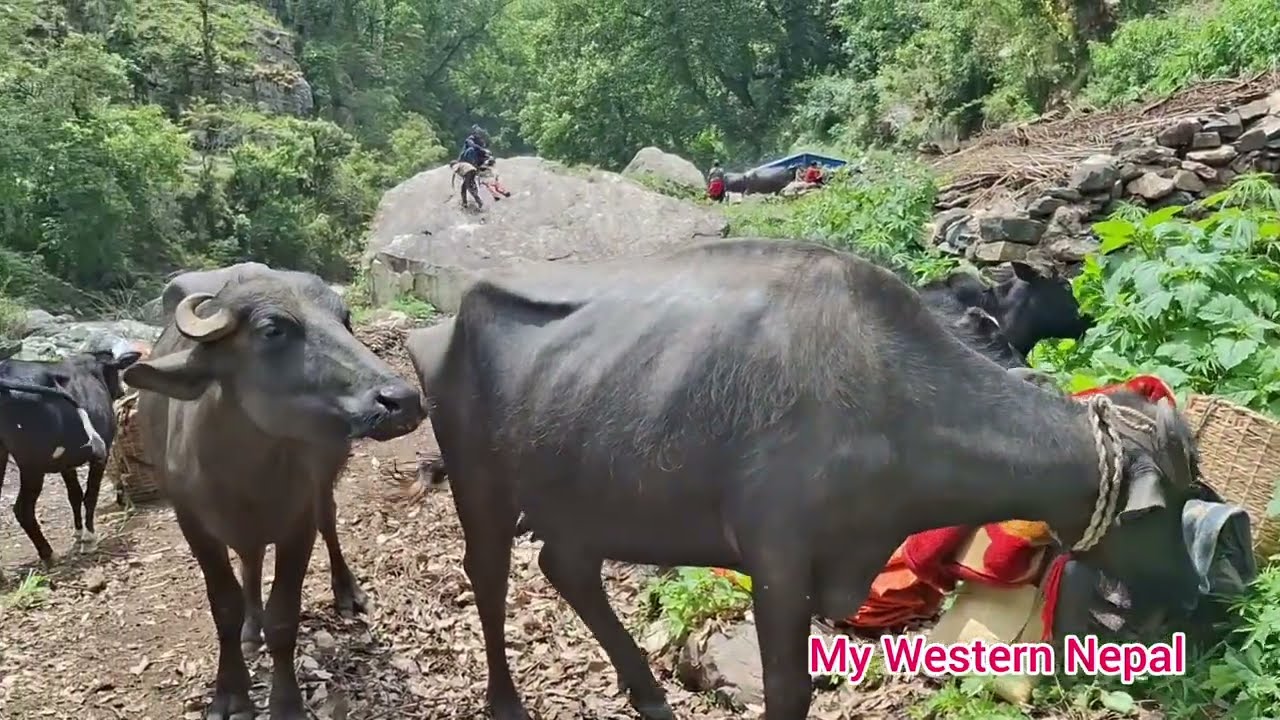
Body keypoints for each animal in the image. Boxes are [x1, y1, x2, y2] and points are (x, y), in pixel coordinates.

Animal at [0, 348, 142, 579]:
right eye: (115, 372)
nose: (121, 391)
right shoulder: (101, 454)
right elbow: (90, 495)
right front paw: (89, 539)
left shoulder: (67, 464)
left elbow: (74, 495)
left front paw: (78, 534)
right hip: (32, 464)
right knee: (23, 509)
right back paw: (48, 554)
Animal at [121, 266, 425, 720]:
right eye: (272, 330)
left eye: (345, 320)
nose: (402, 400)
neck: (245, 475)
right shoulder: (193, 524)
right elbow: (224, 607)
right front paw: (231, 693)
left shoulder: (297, 523)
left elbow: (283, 617)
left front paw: (285, 703)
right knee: (250, 561)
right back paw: (251, 629)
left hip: (325, 480)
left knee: (327, 523)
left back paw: (347, 593)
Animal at [405, 237, 1200, 720]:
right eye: (1163, 510)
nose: (1189, 595)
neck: (889, 402)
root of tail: (439, 323)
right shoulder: (778, 559)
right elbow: (787, 688)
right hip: (479, 485)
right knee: (489, 578)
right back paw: (506, 700)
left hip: (585, 499)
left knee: (566, 567)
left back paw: (649, 692)